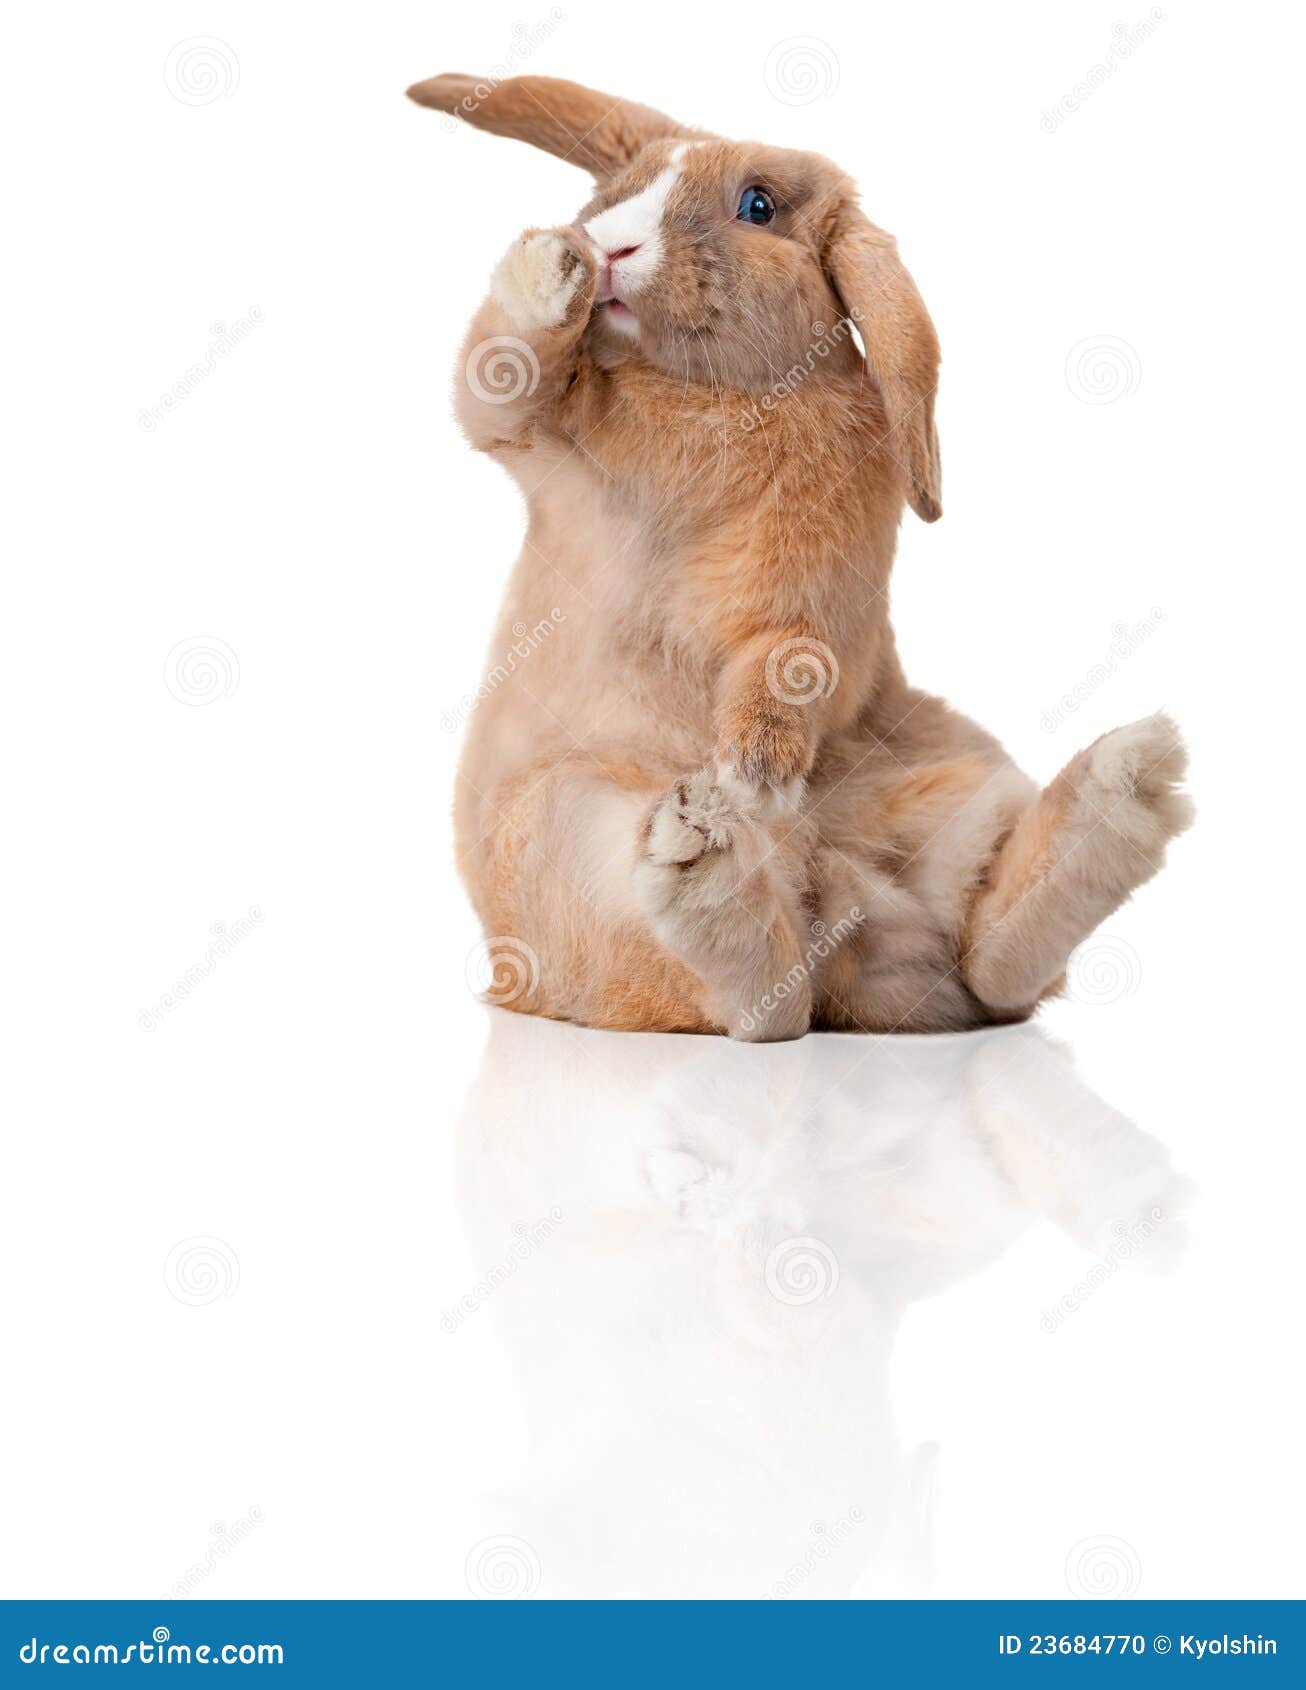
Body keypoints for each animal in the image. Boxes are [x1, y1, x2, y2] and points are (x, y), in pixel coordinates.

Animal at [407, 72, 1193, 1042]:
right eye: (613, 193)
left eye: (758, 206)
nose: (607, 244)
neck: (718, 394)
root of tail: (846, 926)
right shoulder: (538, 439)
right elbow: (497, 379)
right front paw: (548, 268)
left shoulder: (822, 607)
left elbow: (794, 660)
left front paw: (758, 767)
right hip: (565, 822)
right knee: (757, 1003)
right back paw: (708, 848)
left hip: (960, 793)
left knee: (984, 964)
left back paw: (1126, 783)